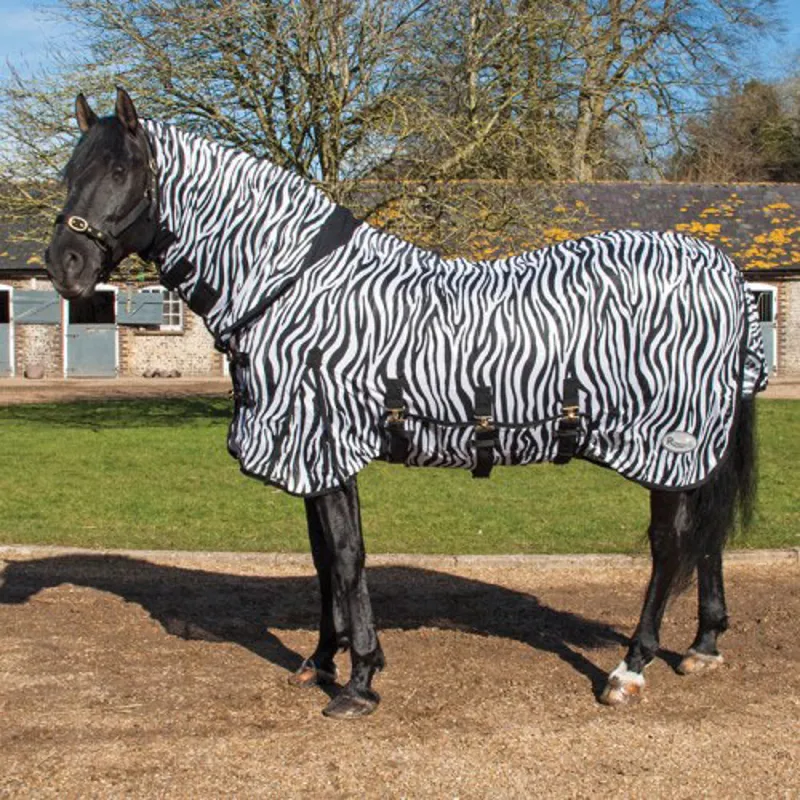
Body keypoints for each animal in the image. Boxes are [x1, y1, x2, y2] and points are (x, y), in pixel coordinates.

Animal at [46, 88, 767, 718]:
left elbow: (347, 557)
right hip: (693, 449)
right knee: (707, 537)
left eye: (120, 169)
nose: (65, 265)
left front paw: (360, 679)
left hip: (666, 442)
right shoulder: (312, 451)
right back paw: (704, 645)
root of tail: (722, 268)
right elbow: (322, 560)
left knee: (670, 547)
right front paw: (322, 659)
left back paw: (629, 669)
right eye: (67, 171)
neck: (295, 285)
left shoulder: (324, 441)